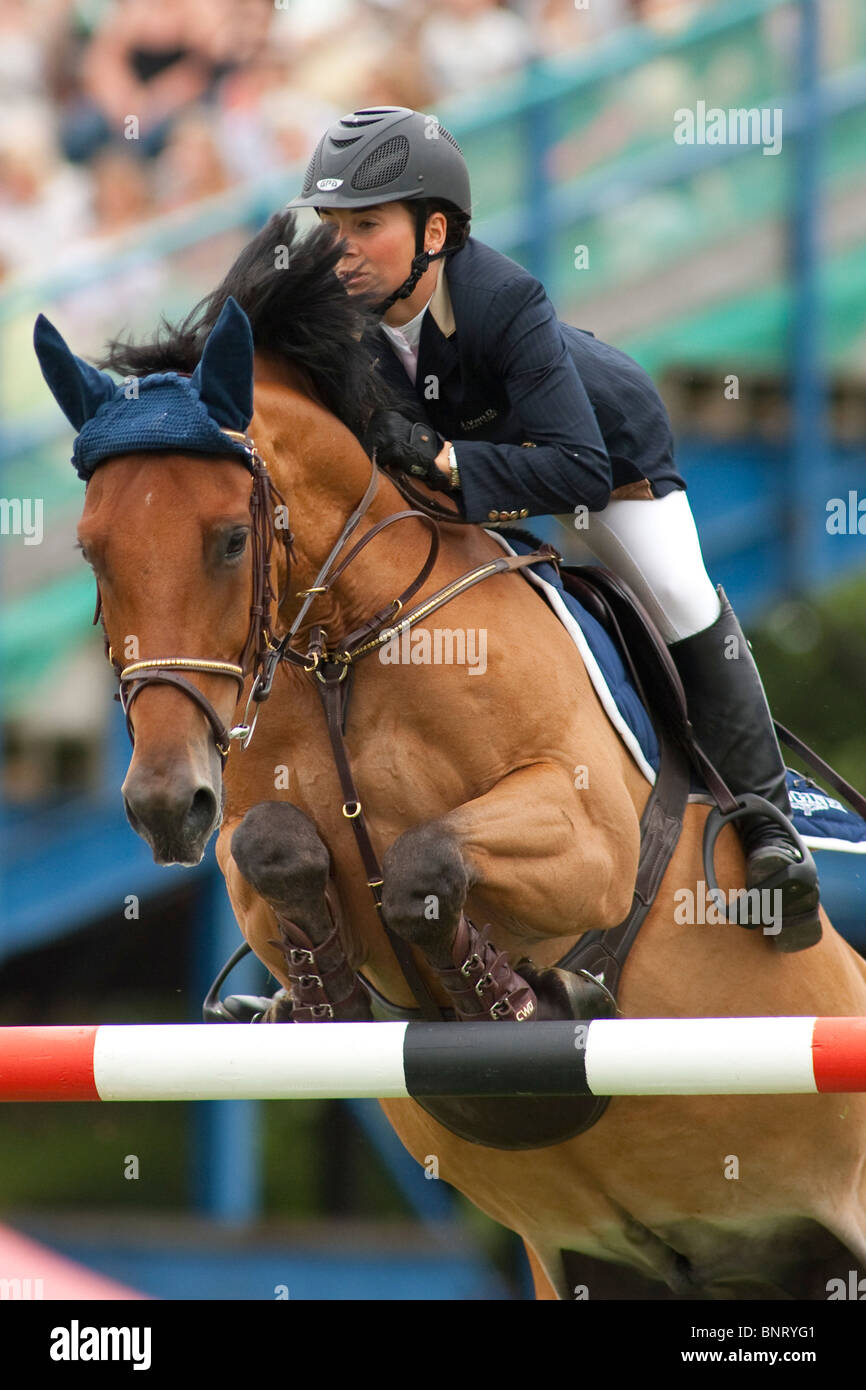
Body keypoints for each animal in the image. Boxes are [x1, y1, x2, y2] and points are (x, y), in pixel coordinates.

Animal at [36, 213, 866, 1300]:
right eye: (91, 549)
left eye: (227, 540)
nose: (165, 806)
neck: (348, 645)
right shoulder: (248, 864)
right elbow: (273, 849)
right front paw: (332, 1003)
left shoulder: (586, 835)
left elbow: (425, 863)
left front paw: (512, 1000)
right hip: (607, 1265)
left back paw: (773, 859)